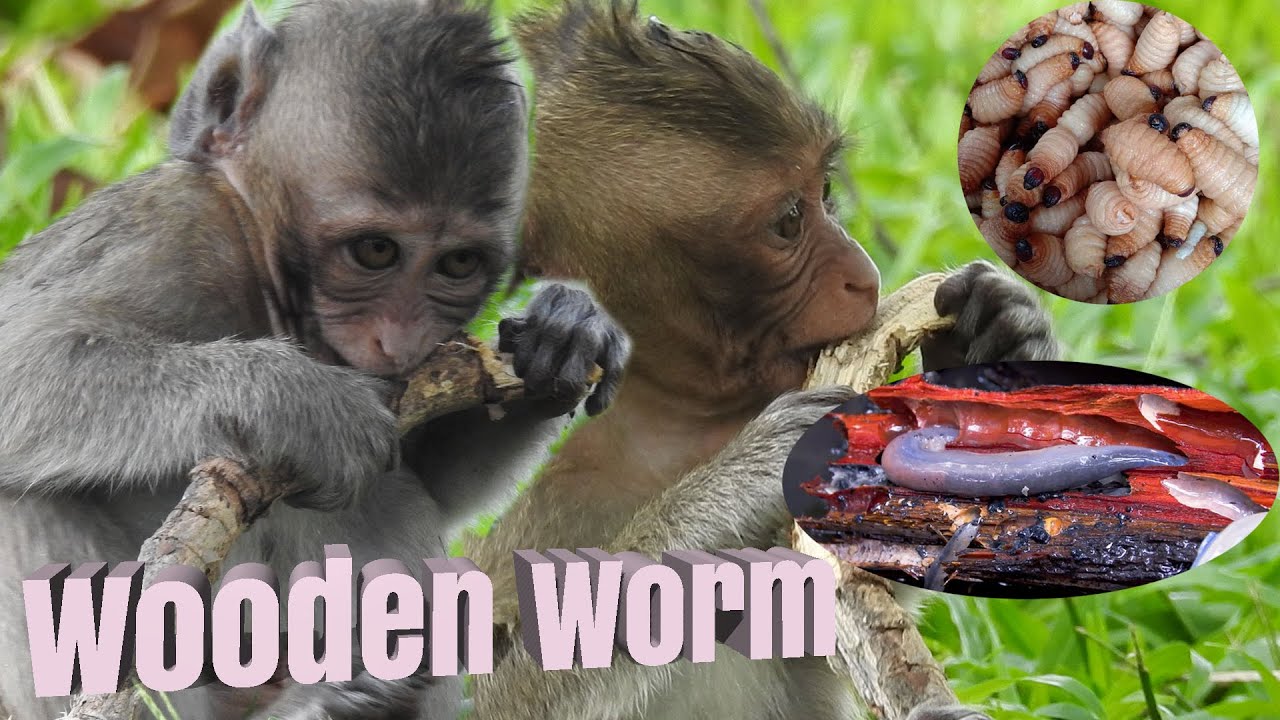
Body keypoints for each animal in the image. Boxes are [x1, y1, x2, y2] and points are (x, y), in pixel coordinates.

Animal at [0, 2, 627, 719]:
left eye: (458, 263)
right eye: (376, 251)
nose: (398, 343)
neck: (262, 273)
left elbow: (435, 476)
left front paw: (564, 333)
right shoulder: (172, 233)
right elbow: (24, 359)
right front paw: (298, 401)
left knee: (385, 490)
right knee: (24, 502)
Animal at [464, 3, 1056, 720]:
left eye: (826, 189)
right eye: (789, 222)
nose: (864, 274)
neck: (680, 427)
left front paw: (998, 331)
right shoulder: (540, 502)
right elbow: (499, 690)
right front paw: (751, 468)